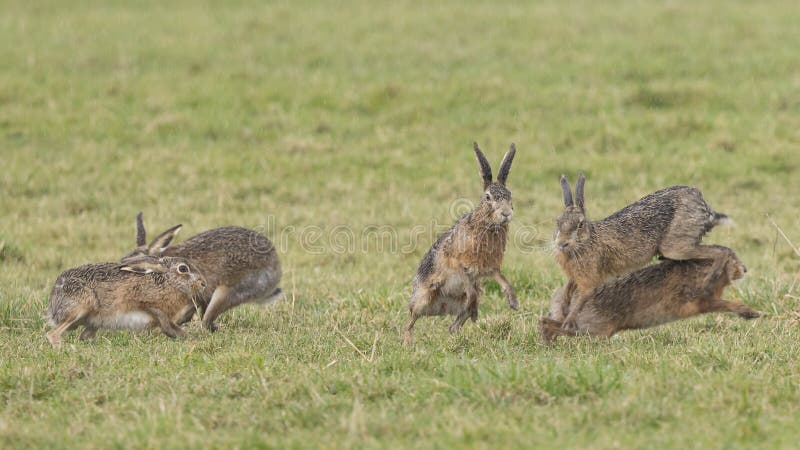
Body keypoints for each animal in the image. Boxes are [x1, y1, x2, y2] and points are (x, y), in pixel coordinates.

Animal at [46, 256, 207, 346]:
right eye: (183, 269)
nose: (203, 284)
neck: (167, 281)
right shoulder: (143, 301)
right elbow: (163, 321)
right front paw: (185, 337)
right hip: (80, 307)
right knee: (52, 334)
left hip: (94, 321)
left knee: (85, 336)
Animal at [403, 142, 518, 345]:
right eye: (488, 197)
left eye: (510, 195)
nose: (506, 213)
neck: (487, 225)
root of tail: (440, 308)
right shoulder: (456, 264)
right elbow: (467, 283)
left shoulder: (489, 267)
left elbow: (502, 280)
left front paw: (513, 302)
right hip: (422, 298)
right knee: (410, 320)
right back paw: (408, 343)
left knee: (454, 325)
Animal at [539, 246, 760, 344]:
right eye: (732, 260)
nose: (744, 269)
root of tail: (570, 299)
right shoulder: (700, 301)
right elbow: (726, 303)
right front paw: (750, 313)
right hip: (594, 327)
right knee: (548, 324)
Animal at [554, 173, 732, 330]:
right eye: (557, 222)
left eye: (580, 224)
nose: (562, 243)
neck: (588, 240)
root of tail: (704, 208)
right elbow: (569, 288)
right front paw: (562, 307)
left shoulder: (590, 280)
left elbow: (581, 299)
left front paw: (567, 323)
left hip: (676, 246)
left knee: (722, 250)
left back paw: (709, 281)